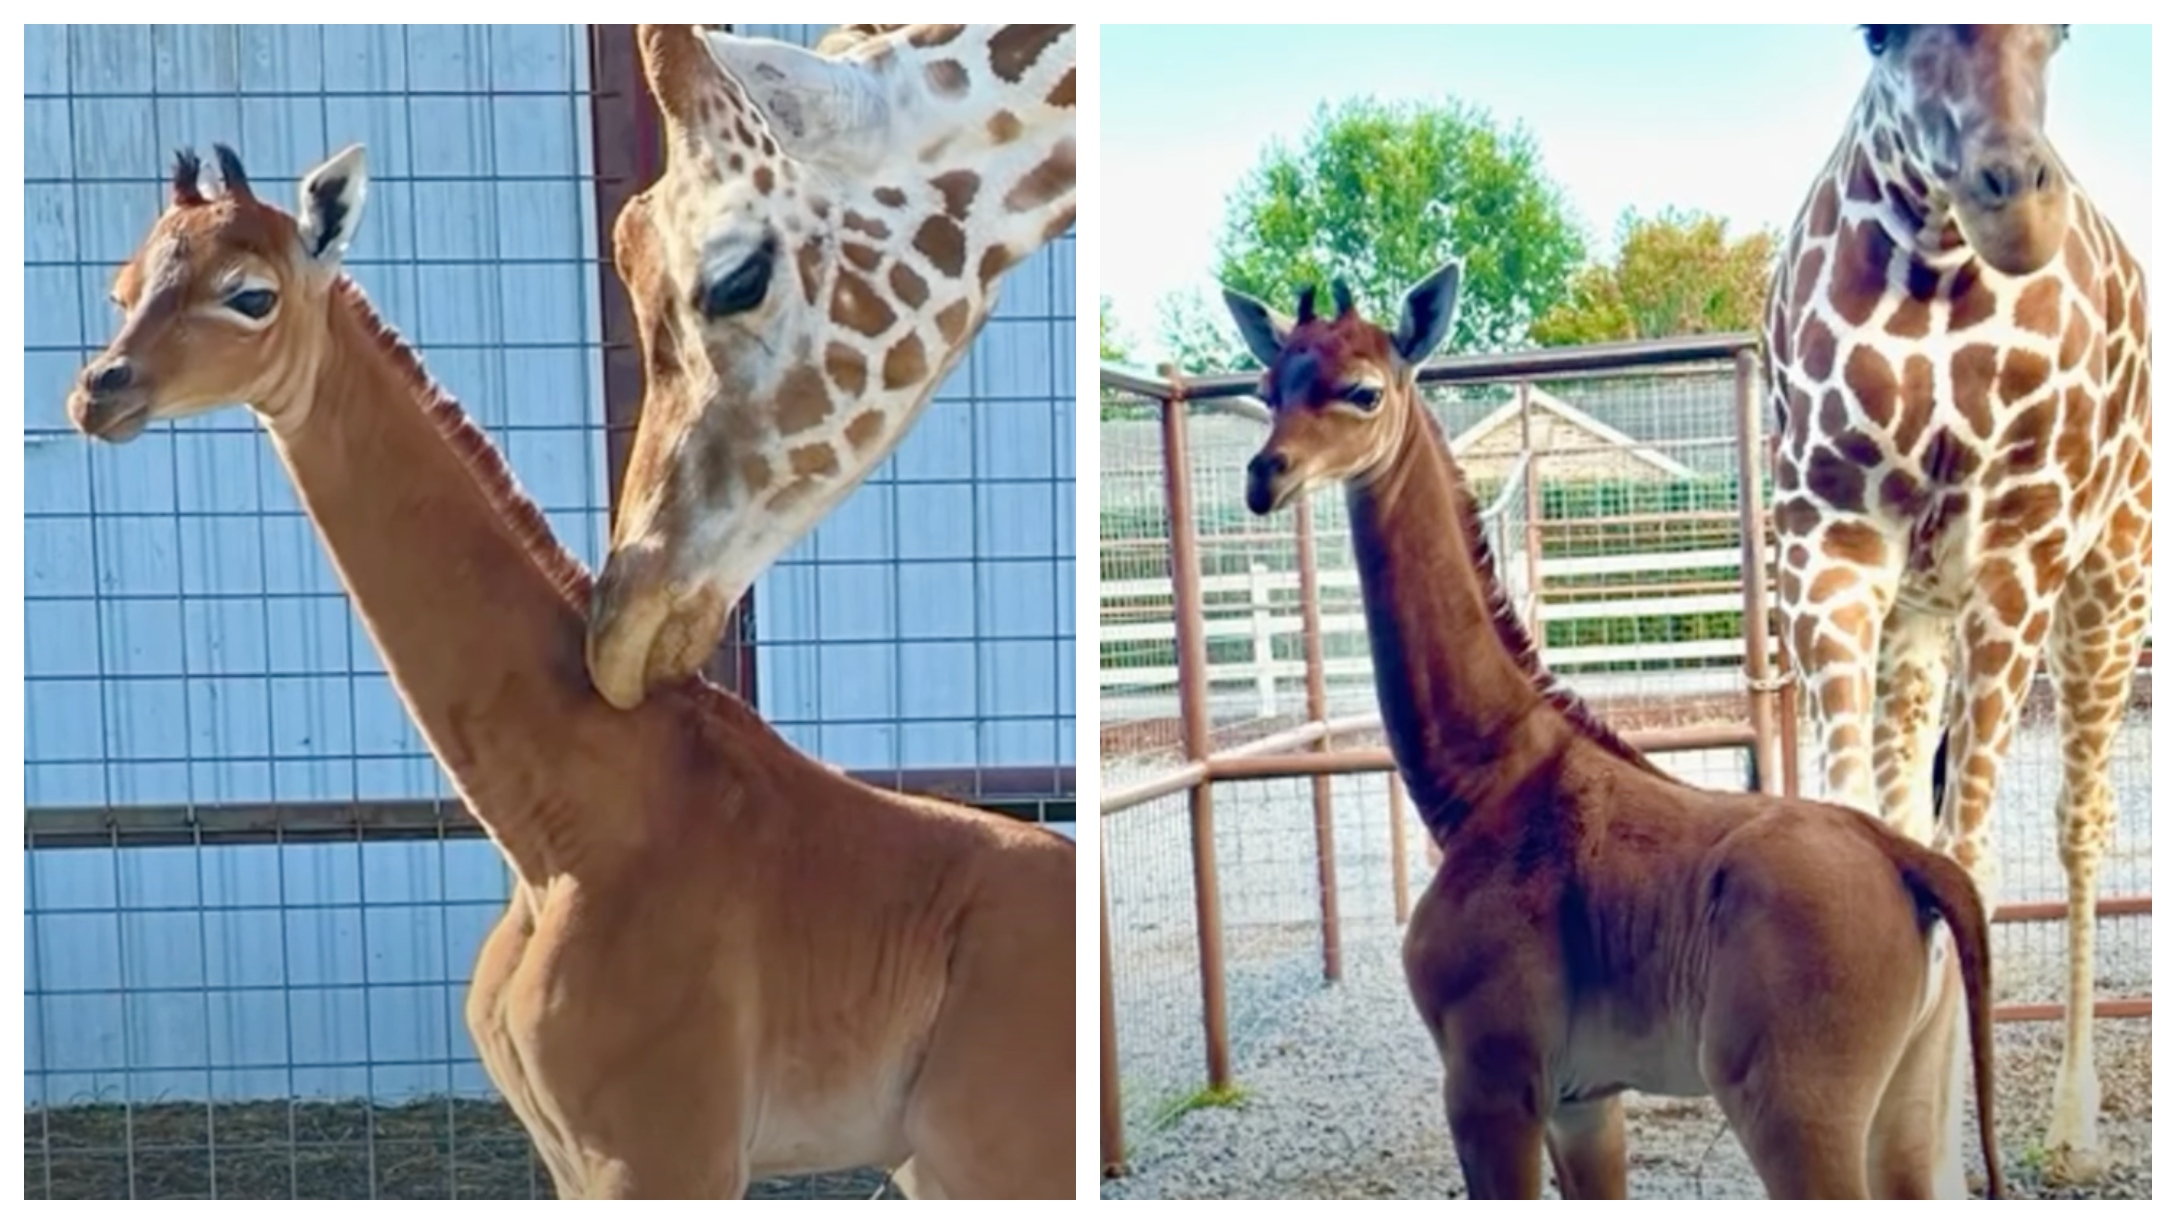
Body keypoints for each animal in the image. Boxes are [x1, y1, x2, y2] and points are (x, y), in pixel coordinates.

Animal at [67, 142, 1074, 1199]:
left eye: (250, 294)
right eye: (122, 288)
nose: (99, 392)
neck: (562, 832)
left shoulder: (667, 1150)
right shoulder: (574, 1156)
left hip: (1000, 1148)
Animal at [1225, 266, 2000, 1199]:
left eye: (1363, 391)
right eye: (1269, 384)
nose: (1266, 475)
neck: (1486, 784)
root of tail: (1912, 864)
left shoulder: (1491, 1083)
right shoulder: (1582, 1099)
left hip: (1797, 1113)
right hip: (1912, 1106)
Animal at [1764, 25, 2151, 1187]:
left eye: (2060, 33)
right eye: (1876, 33)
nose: (2012, 203)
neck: (1934, 275)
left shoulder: (2017, 552)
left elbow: (1968, 859)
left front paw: (1935, 1163)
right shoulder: (1829, 546)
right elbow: (1872, 836)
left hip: (2108, 580)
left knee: (2079, 824)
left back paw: (2073, 1125)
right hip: (1919, 619)